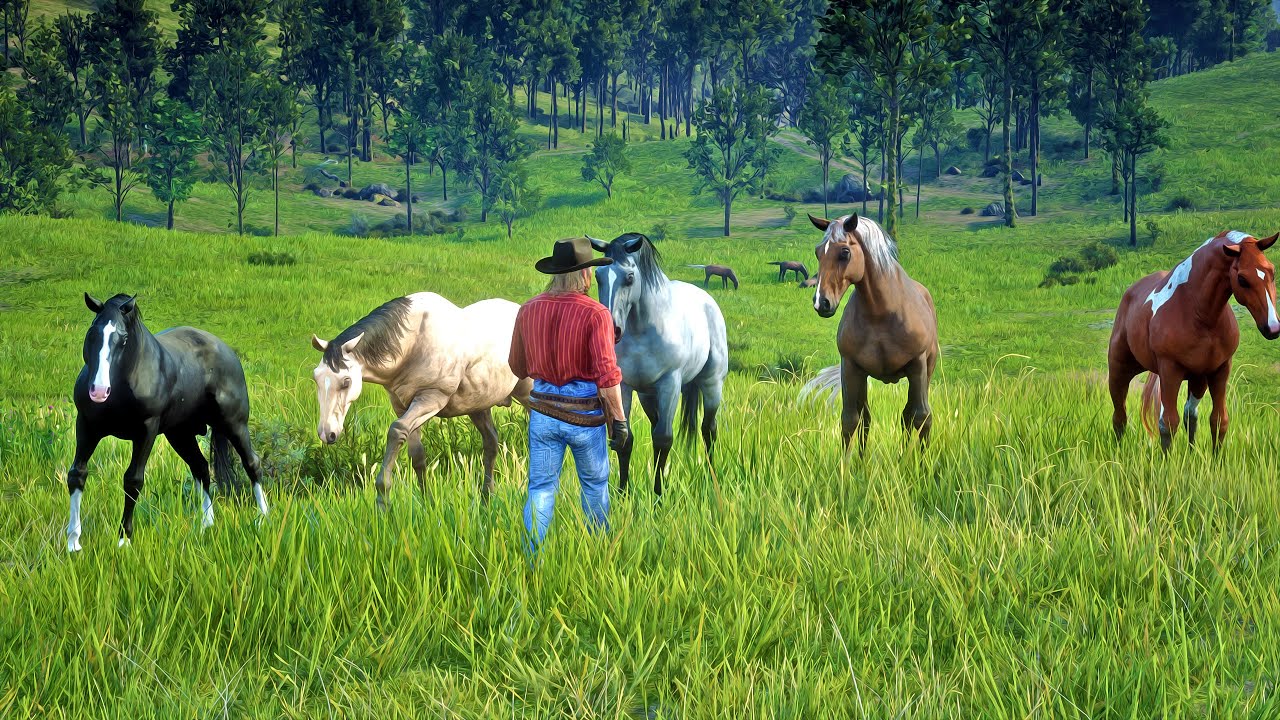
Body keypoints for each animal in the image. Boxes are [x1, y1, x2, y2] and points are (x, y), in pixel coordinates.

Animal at [67, 294, 268, 552]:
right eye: (92, 333)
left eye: (123, 339)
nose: (99, 391)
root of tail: (226, 351)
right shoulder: (87, 426)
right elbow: (77, 474)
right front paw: (73, 542)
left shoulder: (146, 430)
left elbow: (132, 480)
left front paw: (124, 539)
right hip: (180, 434)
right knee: (201, 468)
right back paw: (206, 524)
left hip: (234, 424)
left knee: (252, 464)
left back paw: (263, 518)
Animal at [310, 292, 532, 507]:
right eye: (316, 378)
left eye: (346, 381)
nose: (327, 434)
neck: (414, 342)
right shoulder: (403, 406)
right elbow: (416, 455)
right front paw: (428, 504)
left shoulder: (431, 398)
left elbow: (396, 430)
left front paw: (383, 500)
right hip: (478, 406)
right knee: (491, 443)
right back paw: (486, 500)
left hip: (528, 395)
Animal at [591, 234, 729, 495]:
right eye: (598, 275)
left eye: (630, 277)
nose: (611, 330)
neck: (643, 330)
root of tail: (707, 301)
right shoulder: (624, 386)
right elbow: (627, 440)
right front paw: (623, 492)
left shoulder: (670, 383)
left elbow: (664, 438)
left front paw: (658, 495)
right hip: (648, 396)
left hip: (712, 384)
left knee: (709, 428)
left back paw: (712, 477)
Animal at [801, 213, 939, 450]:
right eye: (818, 252)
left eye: (845, 252)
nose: (822, 303)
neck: (881, 313)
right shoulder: (851, 368)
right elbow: (850, 421)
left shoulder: (918, 366)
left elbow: (922, 417)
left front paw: (922, 461)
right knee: (867, 418)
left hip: (924, 372)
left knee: (910, 414)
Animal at [1108, 230, 1278, 451]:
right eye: (1242, 279)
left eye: (1272, 272)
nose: (1272, 327)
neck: (1198, 313)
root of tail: (1130, 292)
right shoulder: (1170, 370)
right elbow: (1168, 423)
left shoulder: (1219, 370)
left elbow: (1218, 420)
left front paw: (1214, 458)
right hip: (1120, 370)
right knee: (1120, 416)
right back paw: (1118, 452)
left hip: (1197, 379)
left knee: (1190, 414)